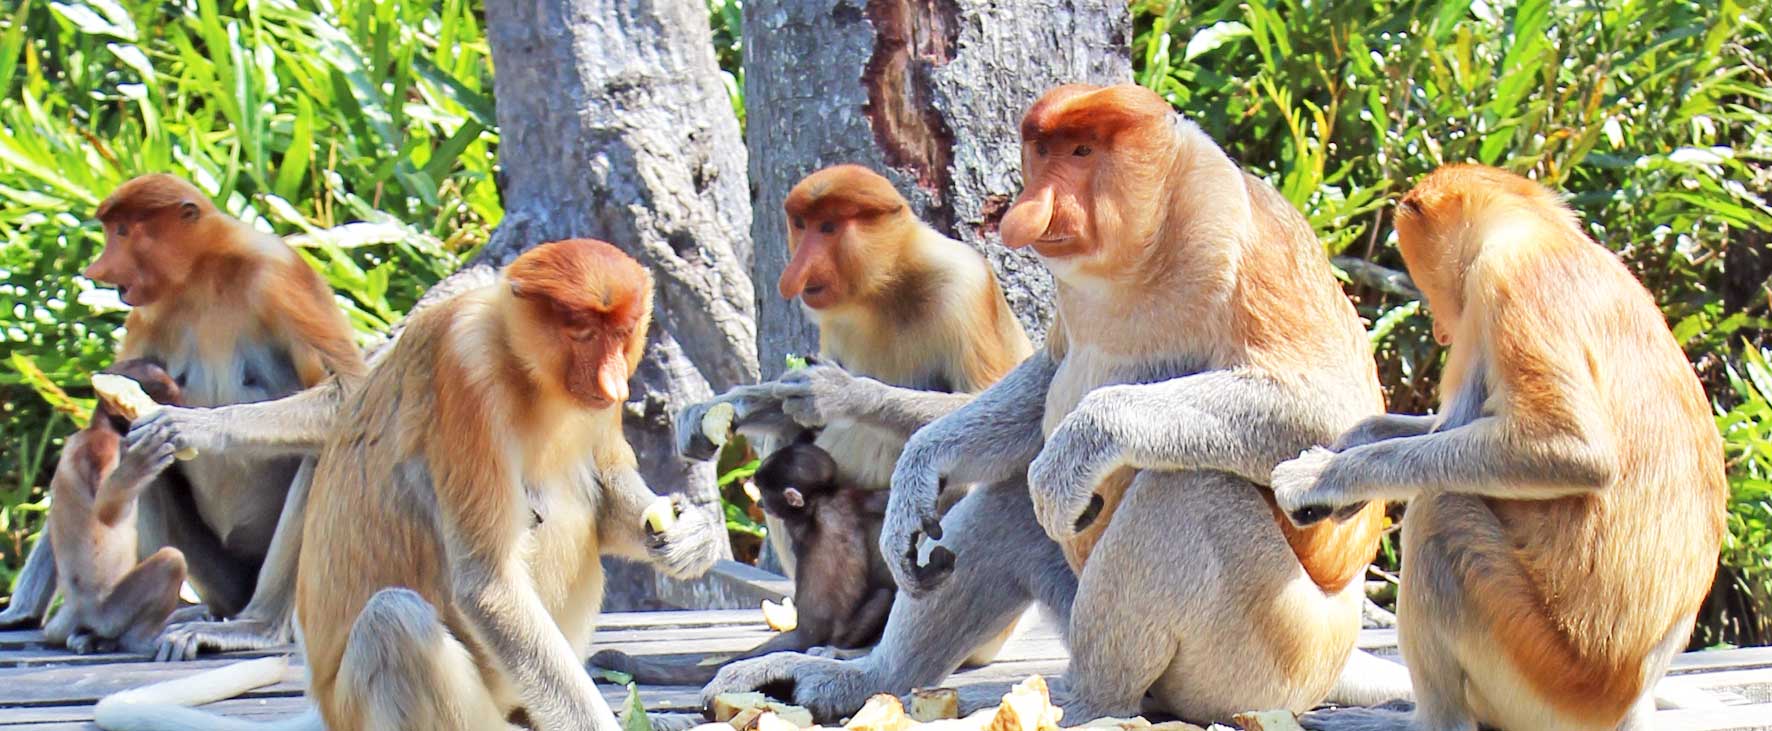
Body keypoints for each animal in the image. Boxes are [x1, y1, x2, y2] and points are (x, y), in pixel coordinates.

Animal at [40, 359, 190, 655]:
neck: (99, 427)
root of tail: (75, 610)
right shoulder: (104, 446)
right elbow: (107, 512)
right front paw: (140, 464)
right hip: (110, 612)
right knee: (172, 560)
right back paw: (140, 640)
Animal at [91, 238, 727, 731]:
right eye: (580, 331)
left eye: (623, 332)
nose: (612, 382)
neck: (522, 364)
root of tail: (325, 708)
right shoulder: (466, 377)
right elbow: (487, 584)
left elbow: (608, 491)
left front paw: (686, 538)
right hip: (372, 703)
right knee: (393, 620)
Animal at [592, 440, 895, 685]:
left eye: (765, 494)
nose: (760, 504)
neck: (820, 500)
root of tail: (805, 628)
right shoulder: (839, 501)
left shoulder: (847, 498)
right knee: (883, 596)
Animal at [704, 84, 1407, 724]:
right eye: (1041, 153)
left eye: (1083, 151)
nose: (1031, 209)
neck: (1142, 254)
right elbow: (1045, 380)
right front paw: (918, 473)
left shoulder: (1240, 238)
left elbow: (1331, 417)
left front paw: (1079, 445)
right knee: (1009, 496)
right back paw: (858, 679)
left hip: (1272, 660)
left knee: (1186, 489)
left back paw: (1091, 701)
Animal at [1271, 164, 1727, 731]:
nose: (1441, 325)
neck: (1539, 228)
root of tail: (1625, 701)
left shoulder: (1506, 280)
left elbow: (1571, 450)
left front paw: (1319, 478)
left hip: (1538, 669)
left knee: (1441, 515)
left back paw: (1422, 719)